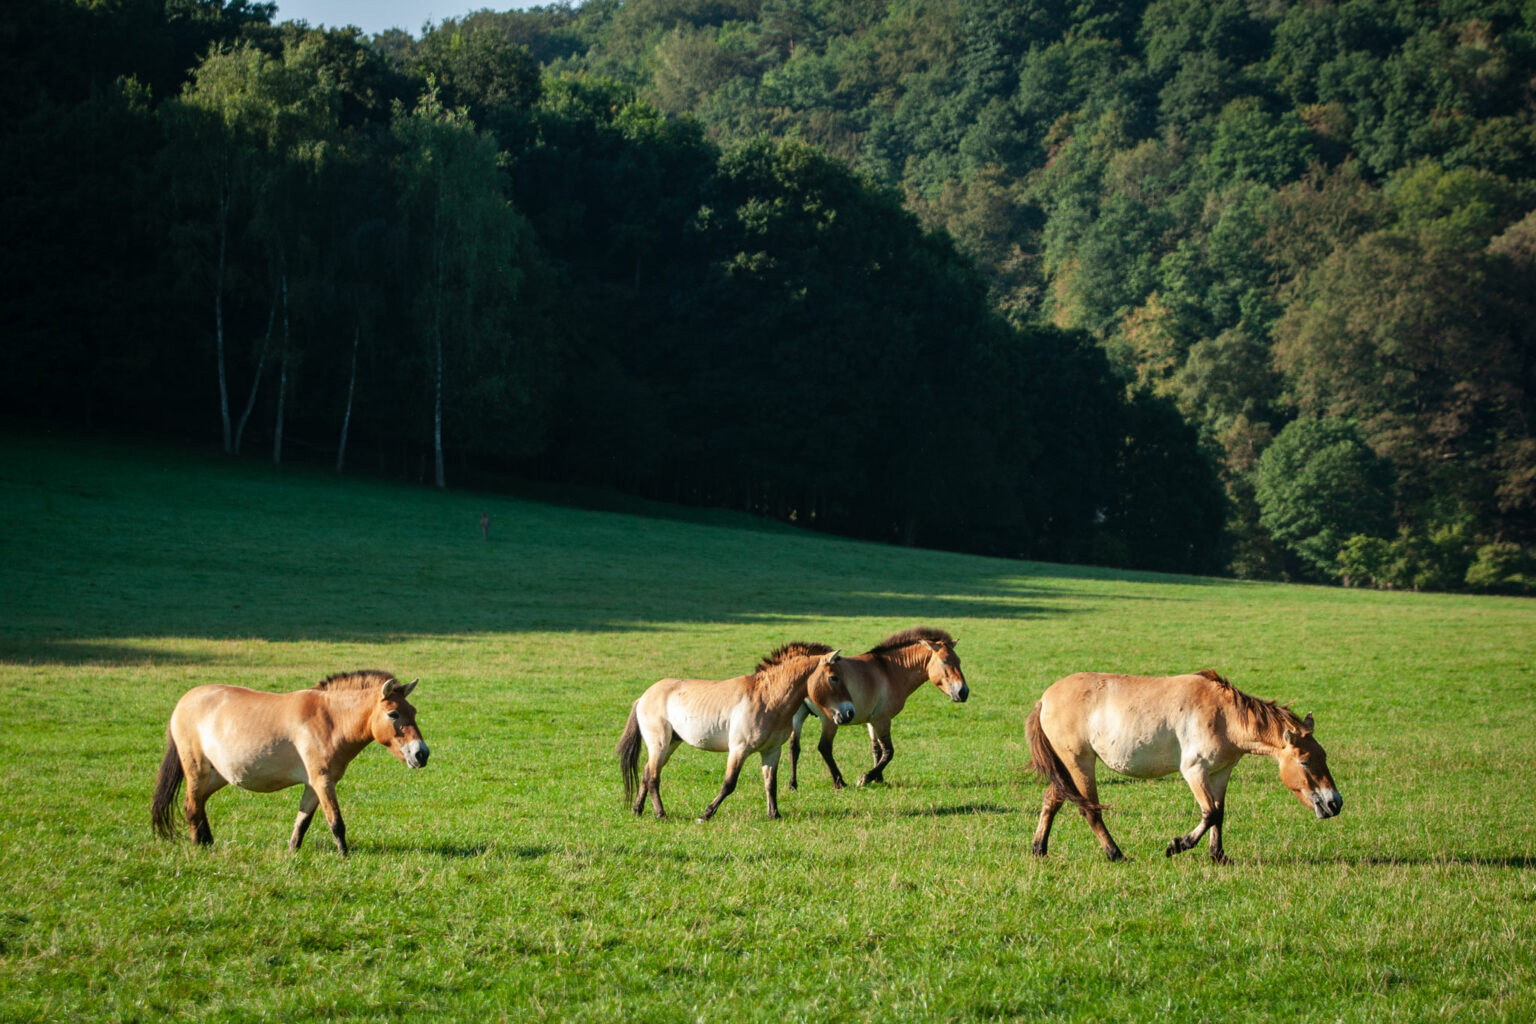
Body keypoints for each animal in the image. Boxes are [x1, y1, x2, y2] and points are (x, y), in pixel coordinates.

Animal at [151, 670, 429, 857]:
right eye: (393, 714)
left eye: (414, 711)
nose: (421, 754)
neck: (330, 720)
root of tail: (182, 703)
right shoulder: (323, 781)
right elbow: (336, 822)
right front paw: (344, 856)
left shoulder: (313, 785)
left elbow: (302, 822)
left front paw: (292, 852)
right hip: (196, 770)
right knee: (191, 806)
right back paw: (199, 846)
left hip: (216, 775)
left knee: (199, 804)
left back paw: (208, 841)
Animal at [617, 643, 855, 821]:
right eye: (833, 677)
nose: (849, 713)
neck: (767, 698)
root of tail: (644, 696)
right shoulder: (739, 749)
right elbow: (729, 784)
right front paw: (706, 814)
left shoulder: (771, 751)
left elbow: (771, 783)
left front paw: (774, 814)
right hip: (660, 744)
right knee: (653, 777)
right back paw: (661, 814)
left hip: (670, 744)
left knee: (646, 773)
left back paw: (638, 810)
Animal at [787, 626, 968, 790]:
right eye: (945, 661)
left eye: (959, 661)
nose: (964, 692)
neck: (890, 669)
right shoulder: (882, 719)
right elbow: (888, 751)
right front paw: (866, 777)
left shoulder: (872, 720)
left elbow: (877, 749)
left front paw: (878, 779)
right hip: (830, 719)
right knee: (824, 747)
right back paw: (839, 782)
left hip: (798, 716)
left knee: (794, 747)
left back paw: (793, 784)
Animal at [1026, 669, 1342, 863]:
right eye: (1305, 761)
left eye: (1324, 756)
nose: (1334, 803)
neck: (1224, 716)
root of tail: (1045, 698)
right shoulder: (1194, 771)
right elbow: (1209, 812)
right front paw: (1178, 845)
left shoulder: (1220, 773)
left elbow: (1219, 814)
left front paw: (1218, 856)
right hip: (1080, 763)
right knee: (1090, 810)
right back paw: (1116, 854)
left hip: (1066, 768)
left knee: (1051, 800)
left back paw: (1039, 849)